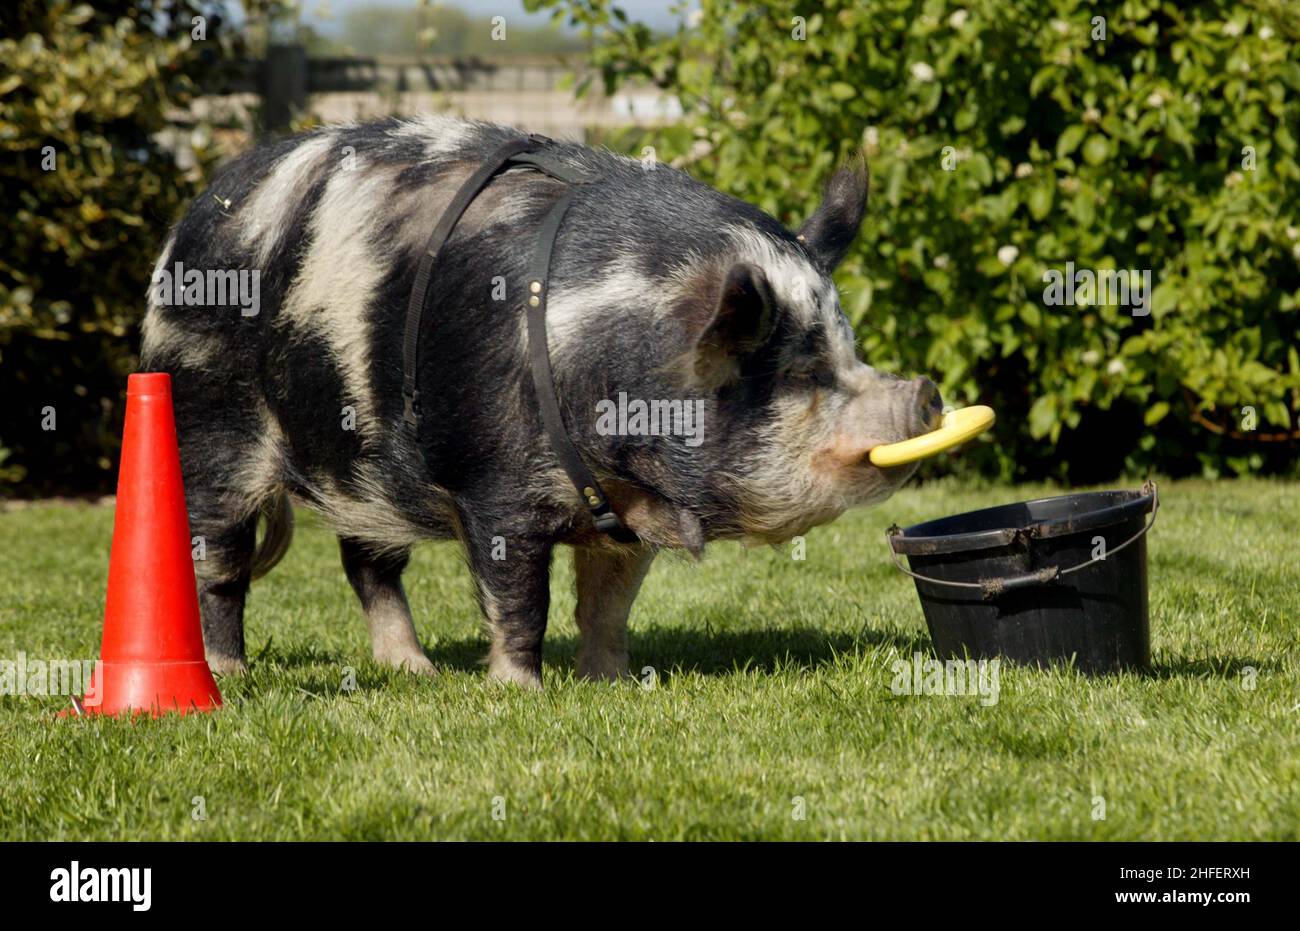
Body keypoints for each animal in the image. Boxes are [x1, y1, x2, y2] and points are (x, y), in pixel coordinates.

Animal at [139, 115, 942, 688]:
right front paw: (518, 688)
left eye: (849, 347)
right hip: (208, 420)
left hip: (360, 461)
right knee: (220, 560)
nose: (926, 391)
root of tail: (188, 223)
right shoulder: (494, 484)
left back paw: (415, 671)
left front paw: (613, 682)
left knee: (369, 564)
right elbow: (521, 595)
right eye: (803, 371)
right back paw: (231, 675)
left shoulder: (623, 512)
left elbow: (608, 606)